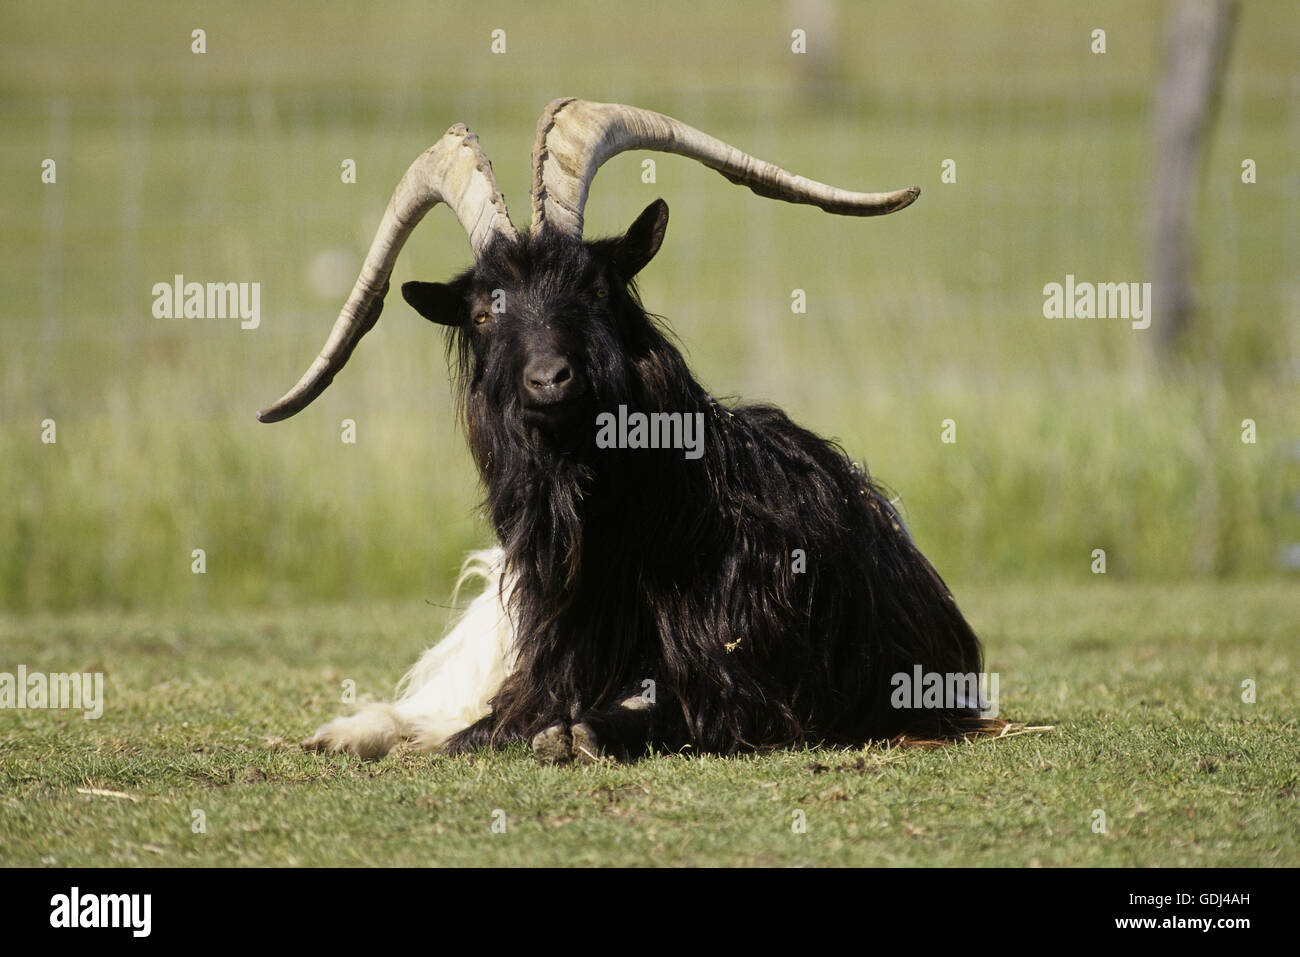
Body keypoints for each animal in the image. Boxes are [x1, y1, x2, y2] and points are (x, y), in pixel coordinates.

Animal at [259, 98, 1002, 762]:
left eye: (596, 287)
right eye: (482, 313)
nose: (550, 380)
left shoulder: (756, 685)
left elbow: (660, 710)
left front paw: (582, 733)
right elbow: (484, 723)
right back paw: (347, 731)